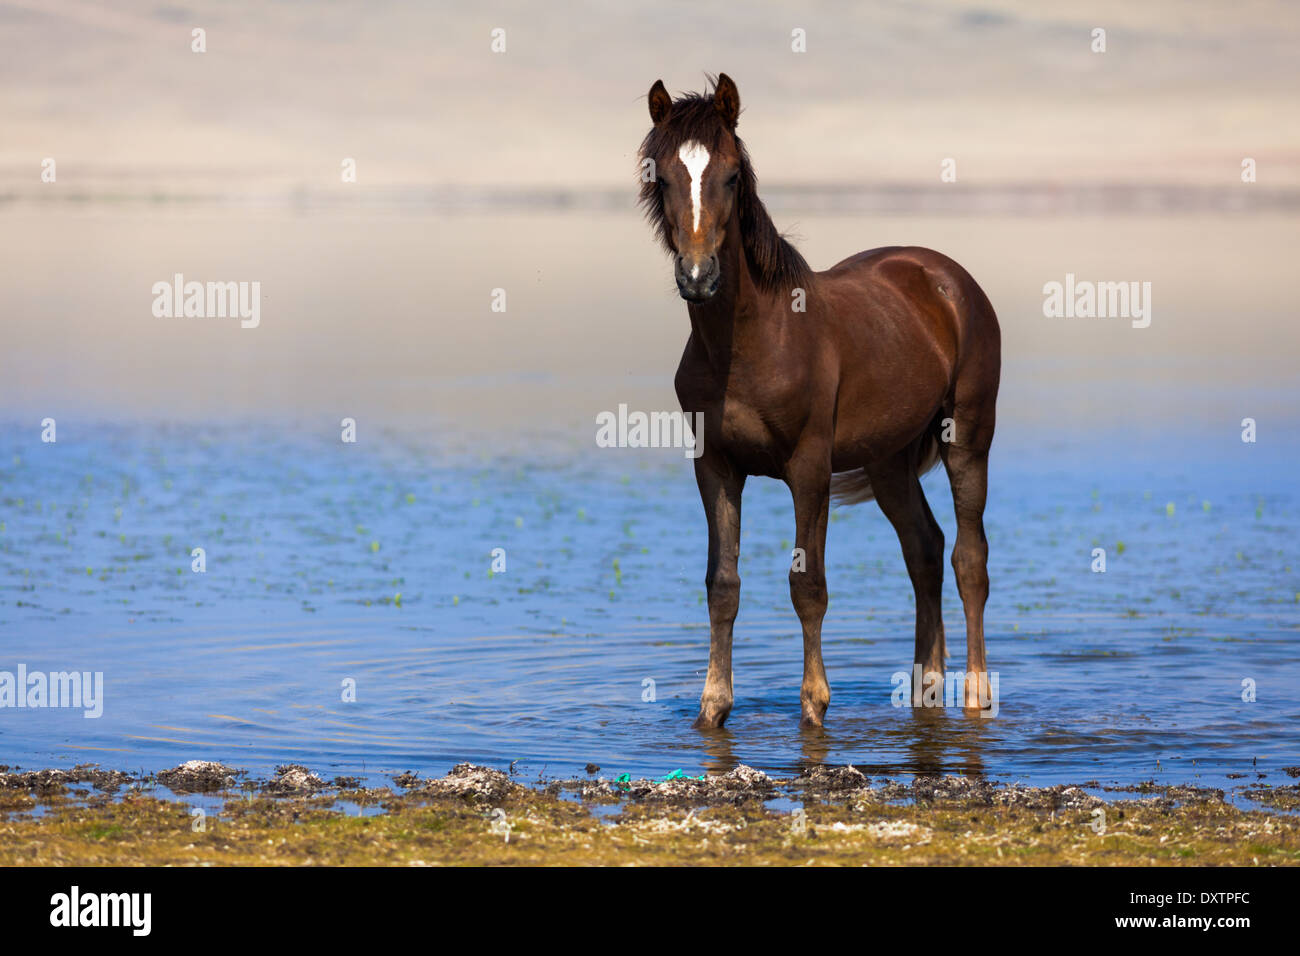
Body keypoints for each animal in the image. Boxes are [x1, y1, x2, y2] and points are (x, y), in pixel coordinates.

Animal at [639, 74, 1001, 730]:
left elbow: (808, 587)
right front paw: (713, 706)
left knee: (969, 559)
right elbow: (722, 584)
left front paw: (814, 704)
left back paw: (976, 694)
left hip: (968, 439)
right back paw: (927, 686)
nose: (698, 277)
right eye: (665, 177)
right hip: (888, 462)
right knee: (925, 550)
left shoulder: (808, 468)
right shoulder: (716, 467)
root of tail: (947, 279)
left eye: (732, 175)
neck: (752, 342)